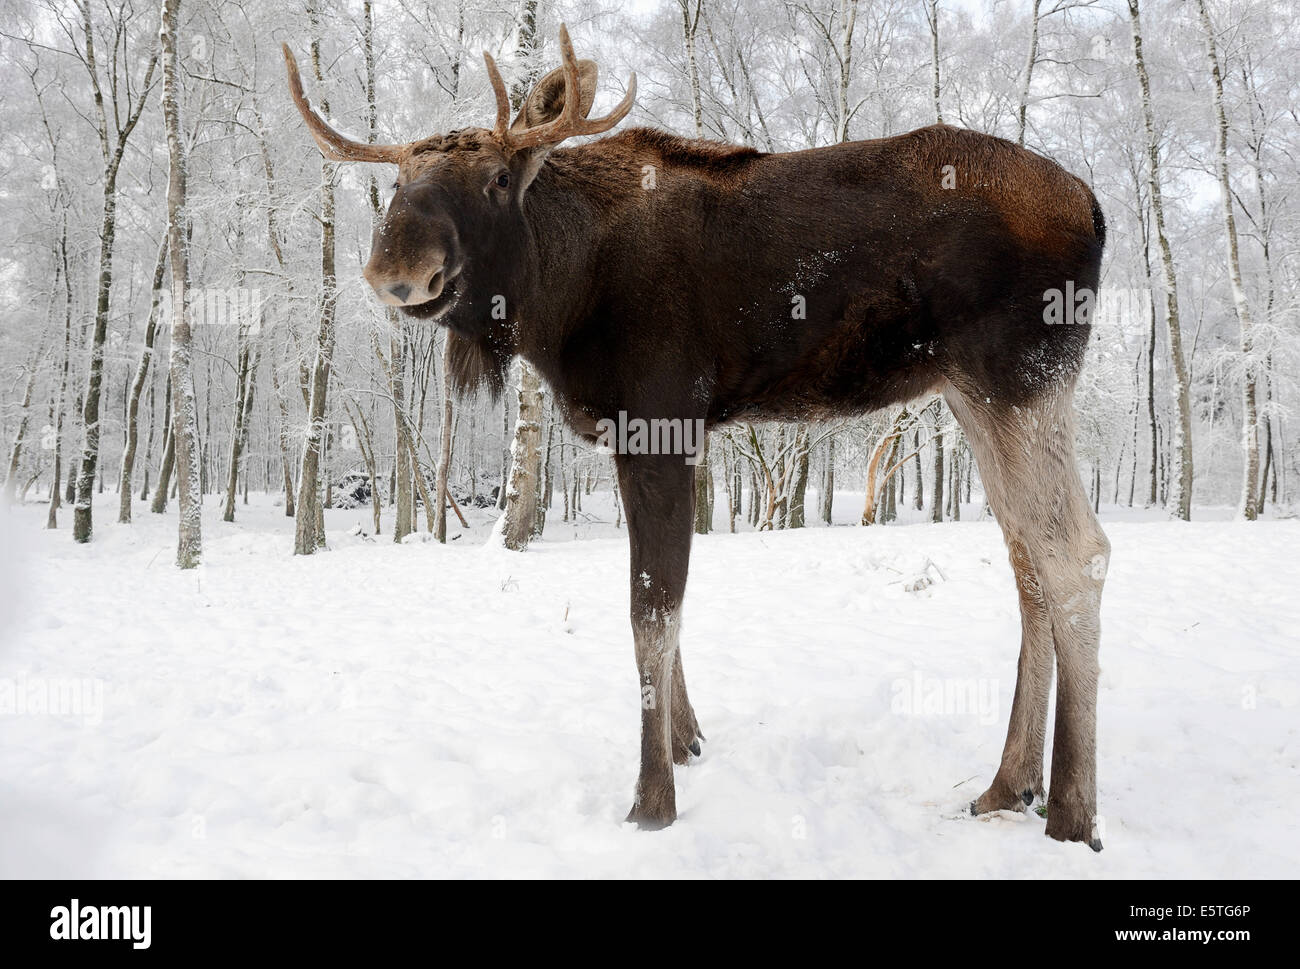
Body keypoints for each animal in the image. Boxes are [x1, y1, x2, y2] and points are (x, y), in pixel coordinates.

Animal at [284, 25, 1110, 850]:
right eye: (398, 182)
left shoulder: (660, 423)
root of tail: (1095, 208)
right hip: (973, 396)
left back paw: (1072, 807)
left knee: (1077, 553)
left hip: (1018, 382)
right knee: (1026, 560)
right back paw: (1009, 783)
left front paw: (654, 794)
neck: (561, 293)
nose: (398, 268)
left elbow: (651, 609)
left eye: (496, 176)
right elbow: (664, 603)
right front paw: (687, 741)